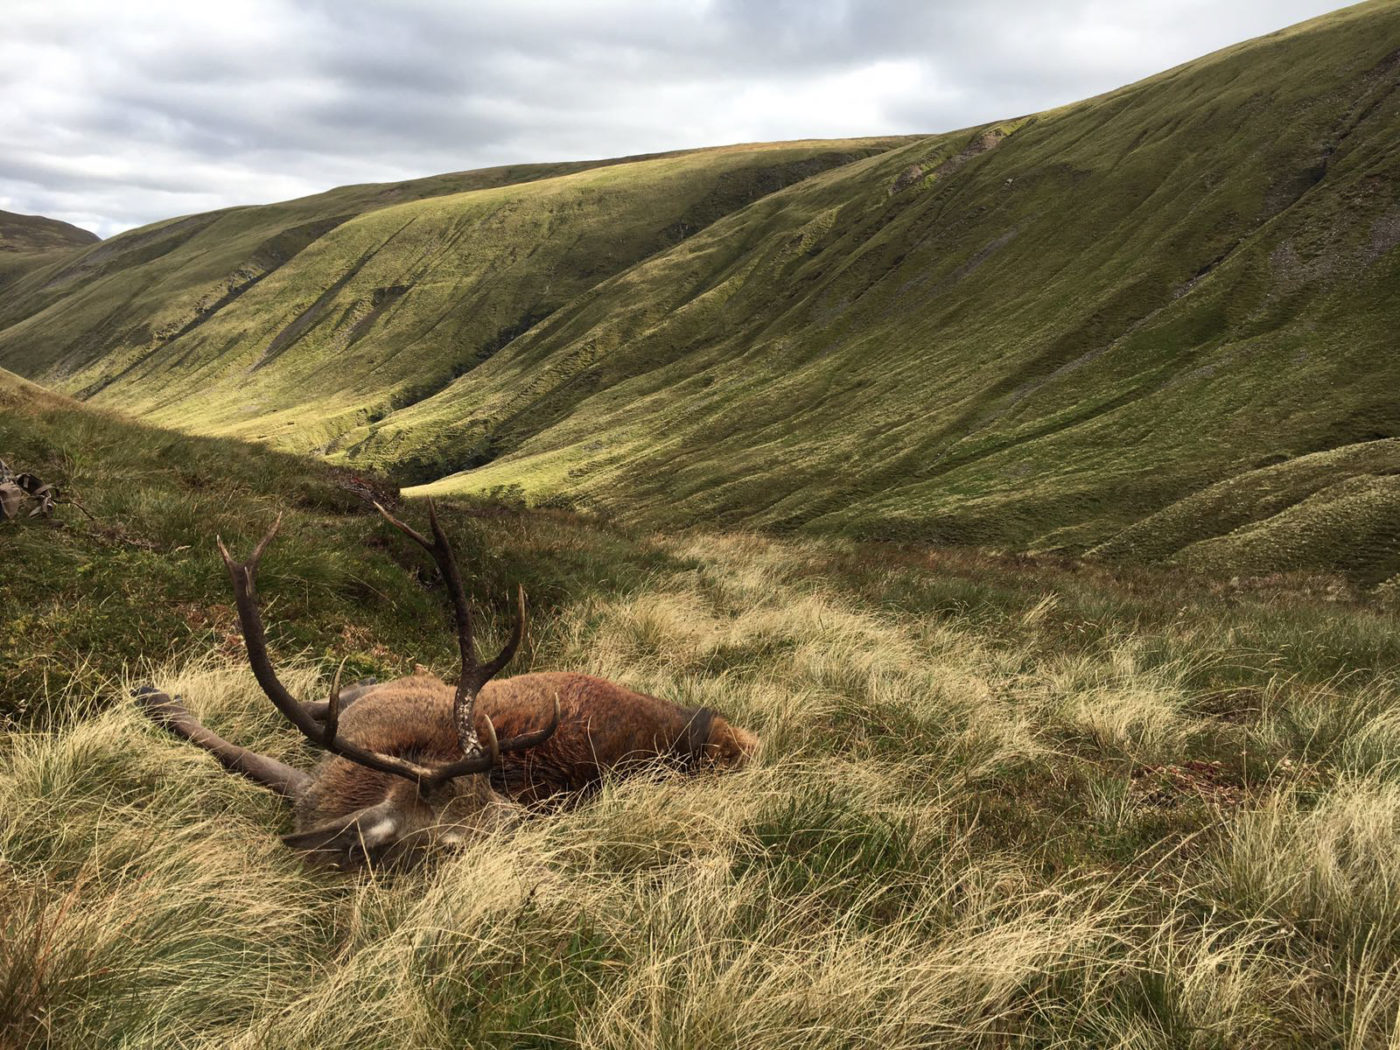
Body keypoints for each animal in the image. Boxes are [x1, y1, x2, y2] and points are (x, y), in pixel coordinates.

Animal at [134, 500, 758, 868]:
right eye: (451, 841)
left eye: (498, 801)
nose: (539, 832)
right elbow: (238, 751)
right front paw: (157, 698)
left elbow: (242, 752)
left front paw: (159, 698)